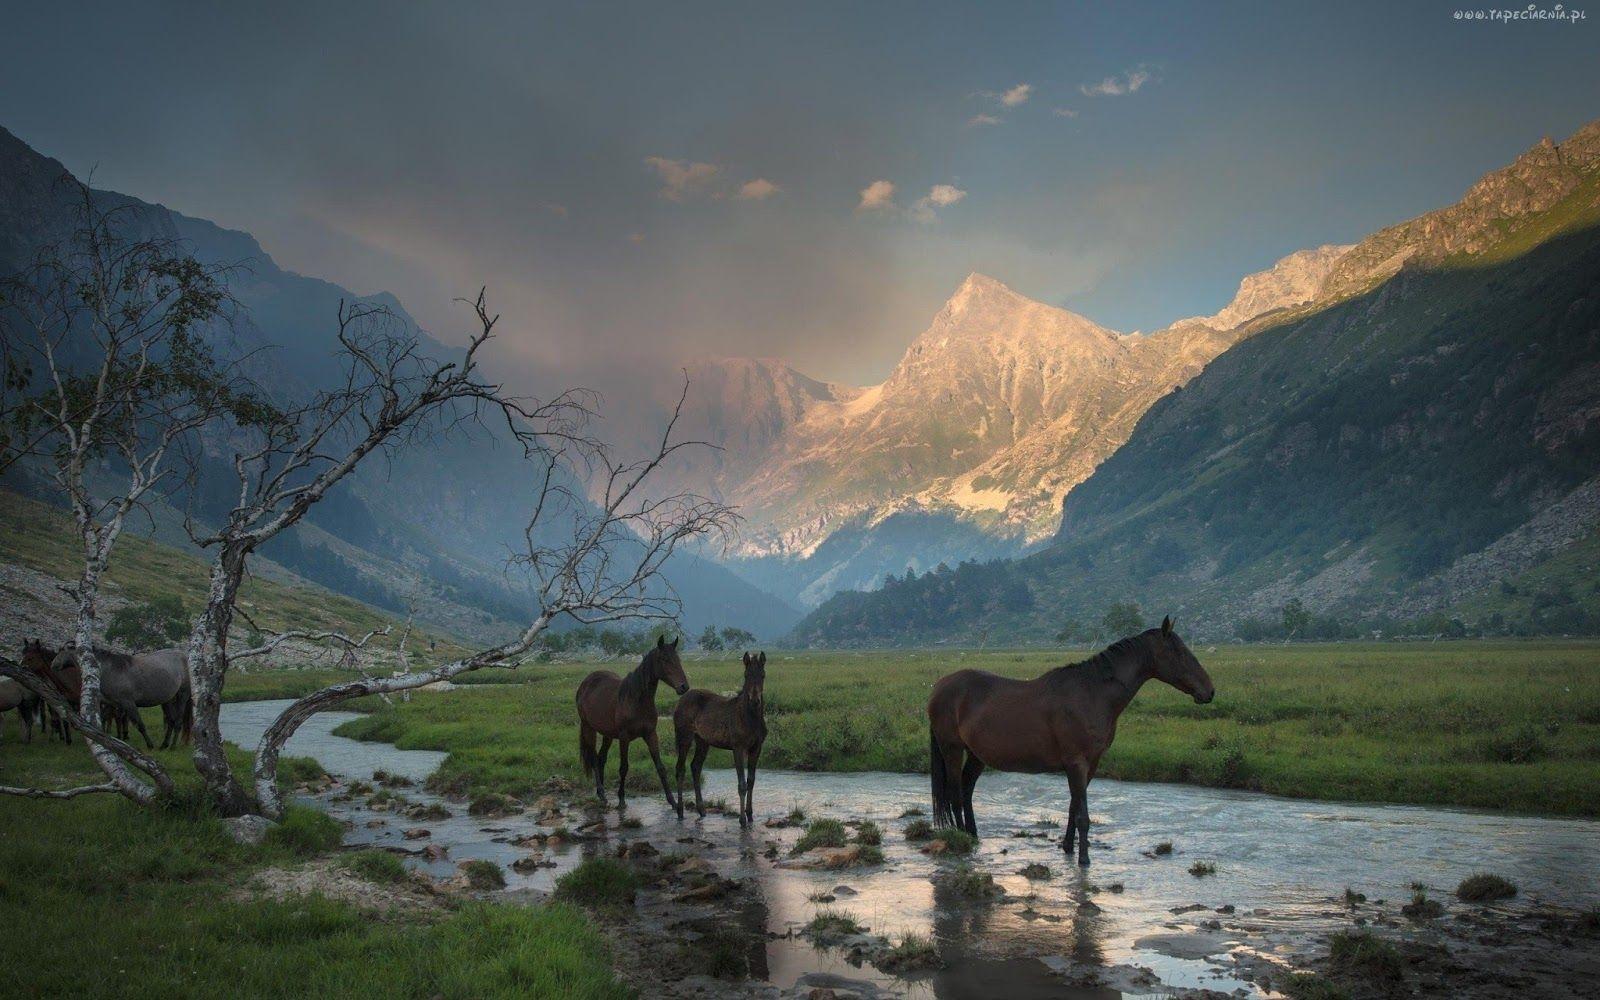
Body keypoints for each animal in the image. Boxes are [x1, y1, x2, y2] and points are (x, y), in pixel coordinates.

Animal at [51, 645, 192, 750]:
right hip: (167, 700)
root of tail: (184, 655)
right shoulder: (110, 703)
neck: (108, 669)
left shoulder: (128, 703)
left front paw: (150, 745)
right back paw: (164, 745)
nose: (53, 665)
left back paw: (172, 746)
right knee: (171, 721)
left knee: (178, 721)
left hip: (182, 695)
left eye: (62, 651)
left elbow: (140, 724)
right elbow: (108, 719)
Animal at [576, 635, 689, 810]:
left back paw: (601, 793)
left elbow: (660, 767)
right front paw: (621, 800)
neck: (637, 700)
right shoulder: (624, 737)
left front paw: (673, 802)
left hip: (608, 734)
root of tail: (585, 683)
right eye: (664, 659)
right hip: (589, 728)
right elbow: (624, 767)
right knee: (594, 758)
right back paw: (602, 794)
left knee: (601, 758)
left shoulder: (651, 734)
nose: (684, 687)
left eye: (678, 659)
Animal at [673, 650, 767, 825]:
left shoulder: (756, 747)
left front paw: (750, 815)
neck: (750, 718)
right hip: (685, 737)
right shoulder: (738, 748)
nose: (755, 701)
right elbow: (742, 784)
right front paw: (742, 820)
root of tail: (681, 700)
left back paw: (701, 810)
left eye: (763, 675)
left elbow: (751, 781)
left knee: (695, 767)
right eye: (746, 675)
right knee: (680, 769)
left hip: (702, 741)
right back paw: (680, 811)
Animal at [927, 617, 1214, 867]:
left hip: (977, 755)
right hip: (952, 749)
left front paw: (1068, 847)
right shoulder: (1076, 763)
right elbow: (1083, 815)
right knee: (955, 793)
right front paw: (1084, 859)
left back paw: (974, 836)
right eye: (1180, 653)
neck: (1092, 694)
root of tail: (939, 686)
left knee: (966, 790)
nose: (1209, 691)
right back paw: (962, 838)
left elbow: (1073, 807)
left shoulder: (1091, 764)